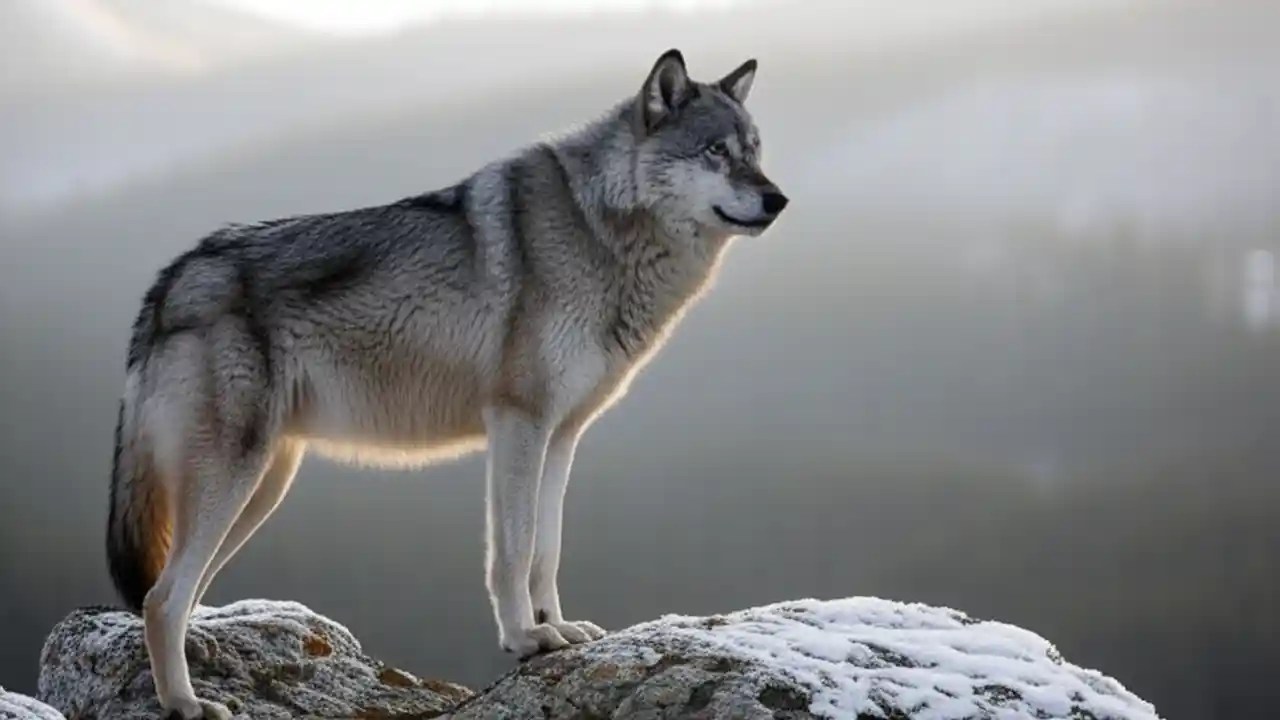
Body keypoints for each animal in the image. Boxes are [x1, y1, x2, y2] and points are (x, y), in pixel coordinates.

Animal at [105, 48, 787, 718]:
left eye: (755, 151)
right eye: (716, 151)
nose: (778, 200)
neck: (602, 229)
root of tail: (171, 278)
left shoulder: (562, 436)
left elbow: (547, 550)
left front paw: (559, 629)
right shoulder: (518, 422)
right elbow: (513, 551)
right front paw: (525, 638)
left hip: (263, 487)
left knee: (177, 592)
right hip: (236, 480)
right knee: (162, 598)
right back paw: (186, 703)